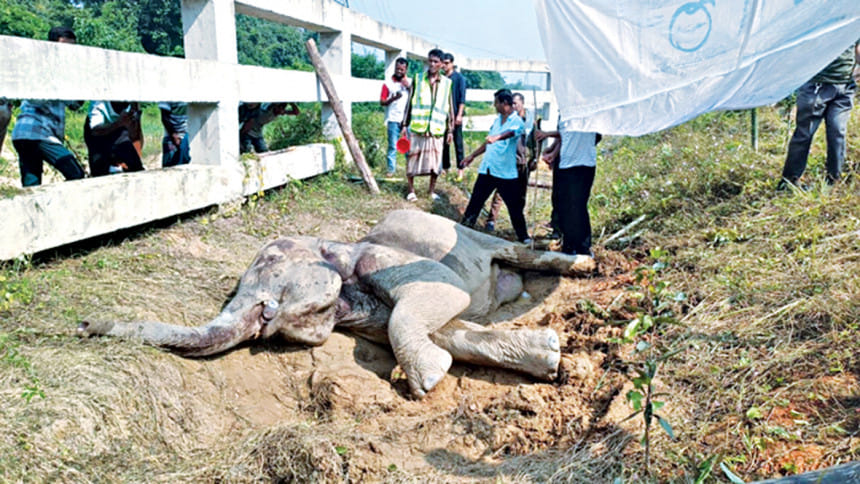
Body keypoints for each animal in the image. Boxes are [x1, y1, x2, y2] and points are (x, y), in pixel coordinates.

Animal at [78, 210, 596, 398]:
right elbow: (451, 330)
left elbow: (446, 292)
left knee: (514, 250)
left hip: (467, 232)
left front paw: (424, 383)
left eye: (271, 270)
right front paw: (550, 357)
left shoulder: (375, 258)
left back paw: (583, 264)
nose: (82, 326)